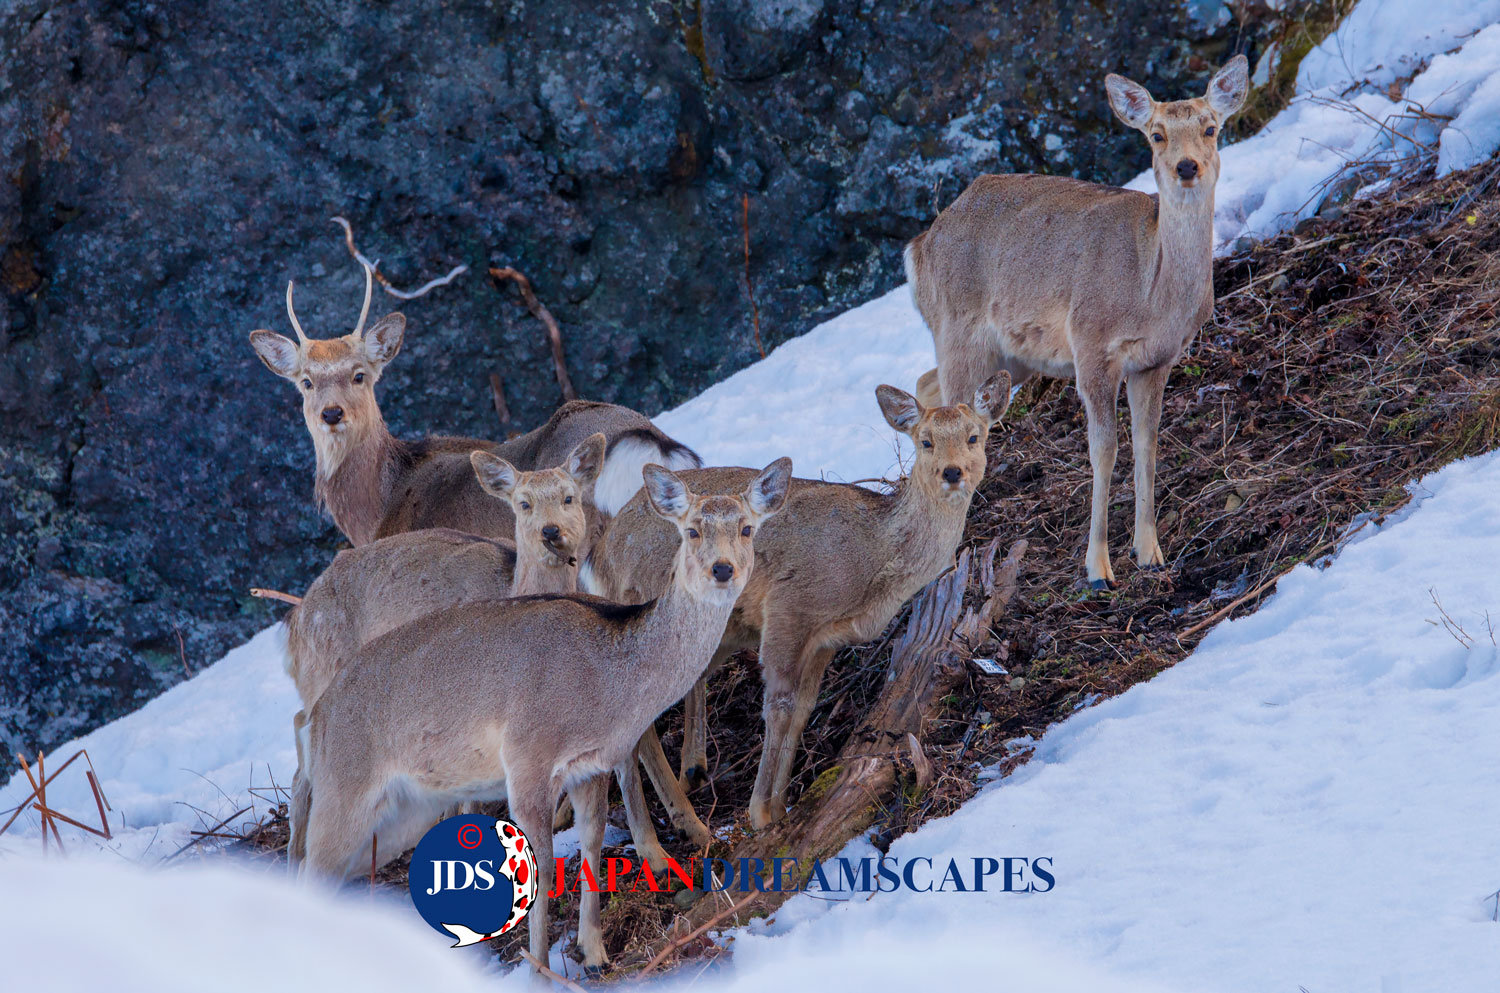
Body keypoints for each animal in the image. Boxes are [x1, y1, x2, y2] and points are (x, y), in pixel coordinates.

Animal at [297, 459, 792, 976]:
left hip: (402, 812)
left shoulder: (592, 765)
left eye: (747, 528)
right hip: (344, 790)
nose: (723, 568)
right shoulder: (527, 760)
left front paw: (594, 954)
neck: (609, 686)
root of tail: (319, 719)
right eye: (692, 530)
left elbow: (592, 844)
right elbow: (542, 868)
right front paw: (539, 968)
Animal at [585, 375, 1010, 828]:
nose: (953, 472)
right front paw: (760, 813)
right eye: (925, 440)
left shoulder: (826, 639)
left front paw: (781, 802)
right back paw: (688, 825)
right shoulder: (790, 606)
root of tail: (601, 557)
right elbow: (779, 705)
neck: (874, 564)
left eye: (974, 436)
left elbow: (803, 709)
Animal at [904, 56, 1249, 589]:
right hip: (959, 330)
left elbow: (1148, 444)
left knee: (926, 385)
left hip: (1012, 358)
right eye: (1156, 135)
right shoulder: (1091, 346)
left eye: (1211, 128)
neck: (1151, 292)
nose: (1187, 166)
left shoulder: (1156, 360)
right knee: (947, 403)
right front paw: (1098, 569)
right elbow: (1103, 449)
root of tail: (917, 248)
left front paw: (1150, 552)